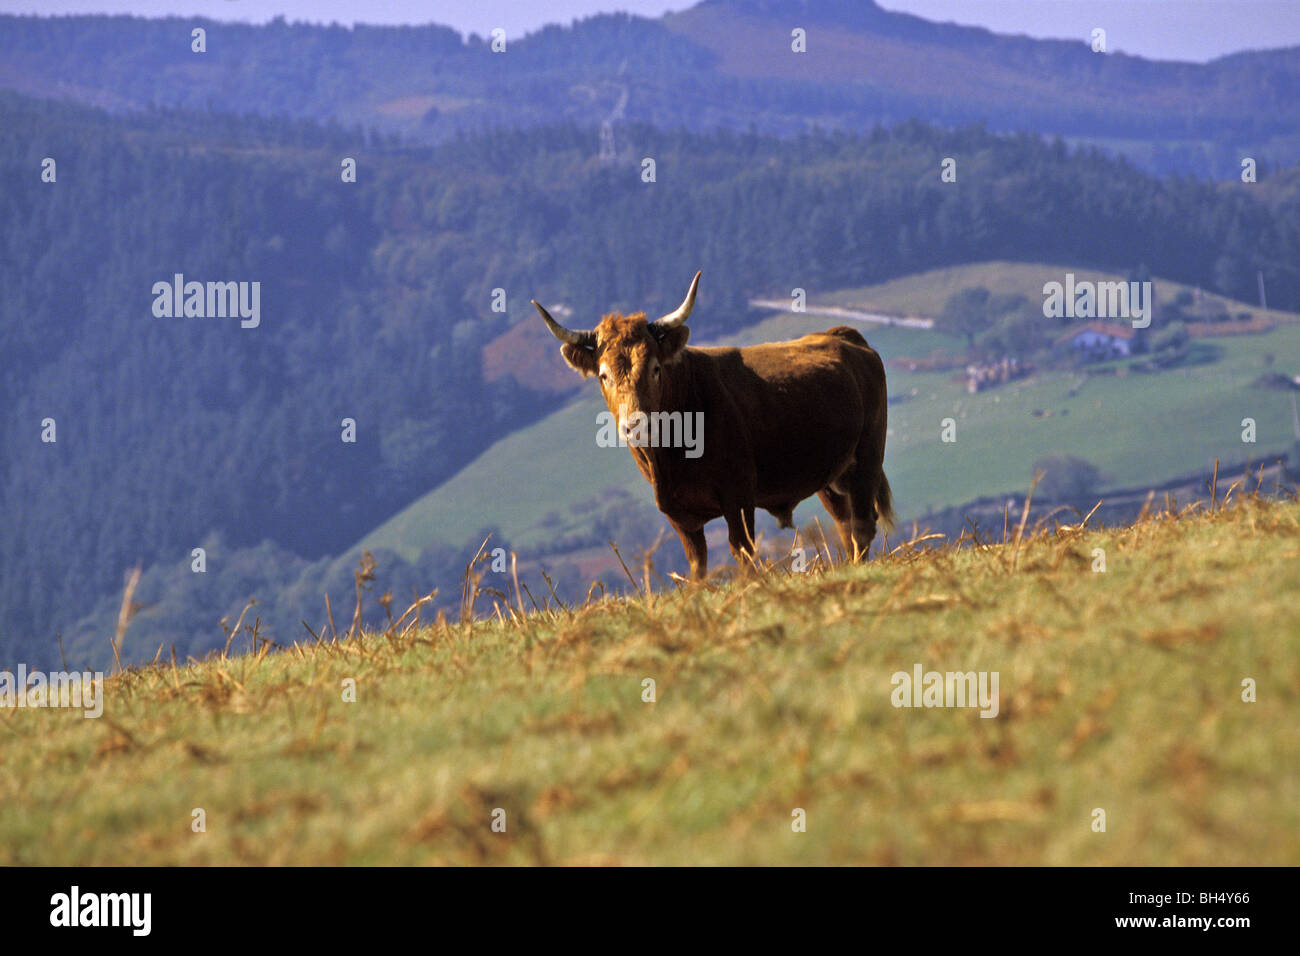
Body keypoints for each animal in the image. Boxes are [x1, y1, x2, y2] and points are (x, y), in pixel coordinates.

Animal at [531, 271, 893, 579]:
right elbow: (698, 565)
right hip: (832, 476)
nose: (636, 423)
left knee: (862, 525)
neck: (672, 455)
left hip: (868, 456)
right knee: (845, 525)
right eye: (603, 375)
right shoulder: (677, 514)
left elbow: (742, 552)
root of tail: (843, 336)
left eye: (655, 368)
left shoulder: (738, 494)